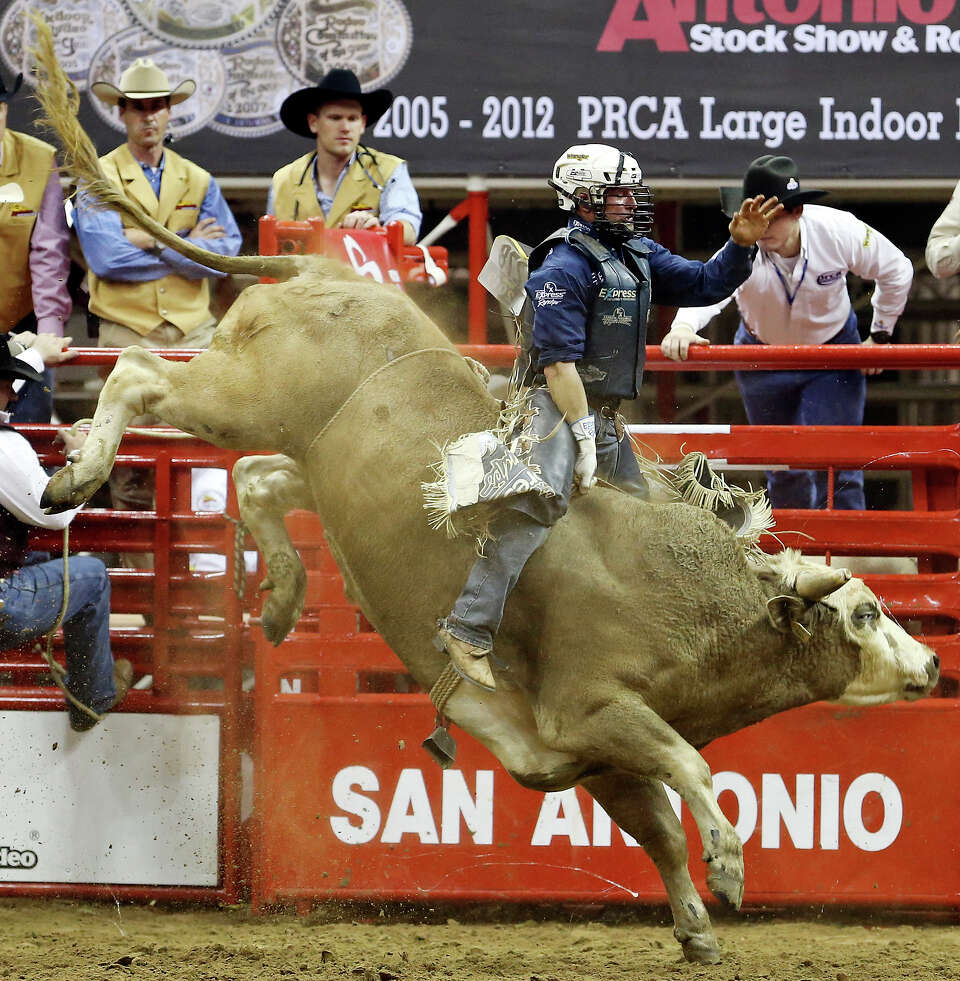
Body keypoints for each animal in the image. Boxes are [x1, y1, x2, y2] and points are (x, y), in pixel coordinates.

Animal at [31, 18, 939, 966]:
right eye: (867, 611)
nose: (933, 663)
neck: (690, 600)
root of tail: (321, 275)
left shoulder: (591, 756)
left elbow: (656, 827)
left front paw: (695, 925)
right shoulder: (595, 709)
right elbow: (689, 769)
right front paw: (728, 866)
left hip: (306, 456)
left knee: (258, 480)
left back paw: (278, 596)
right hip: (242, 395)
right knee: (141, 374)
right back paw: (74, 474)